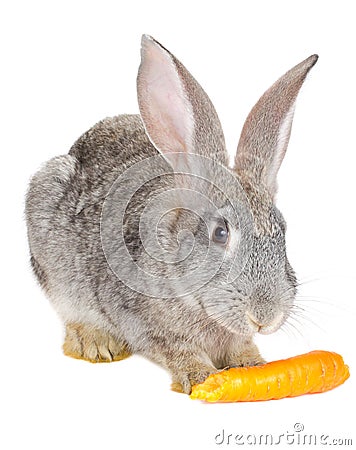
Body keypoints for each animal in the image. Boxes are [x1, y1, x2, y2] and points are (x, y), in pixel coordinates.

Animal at [26, 35, 318, 394]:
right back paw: (96, 344)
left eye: (283, 230)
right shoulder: (144, 322)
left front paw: (253, 364)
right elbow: (175, 348)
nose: (266, 317)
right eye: (220, 232)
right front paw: (200, 378)